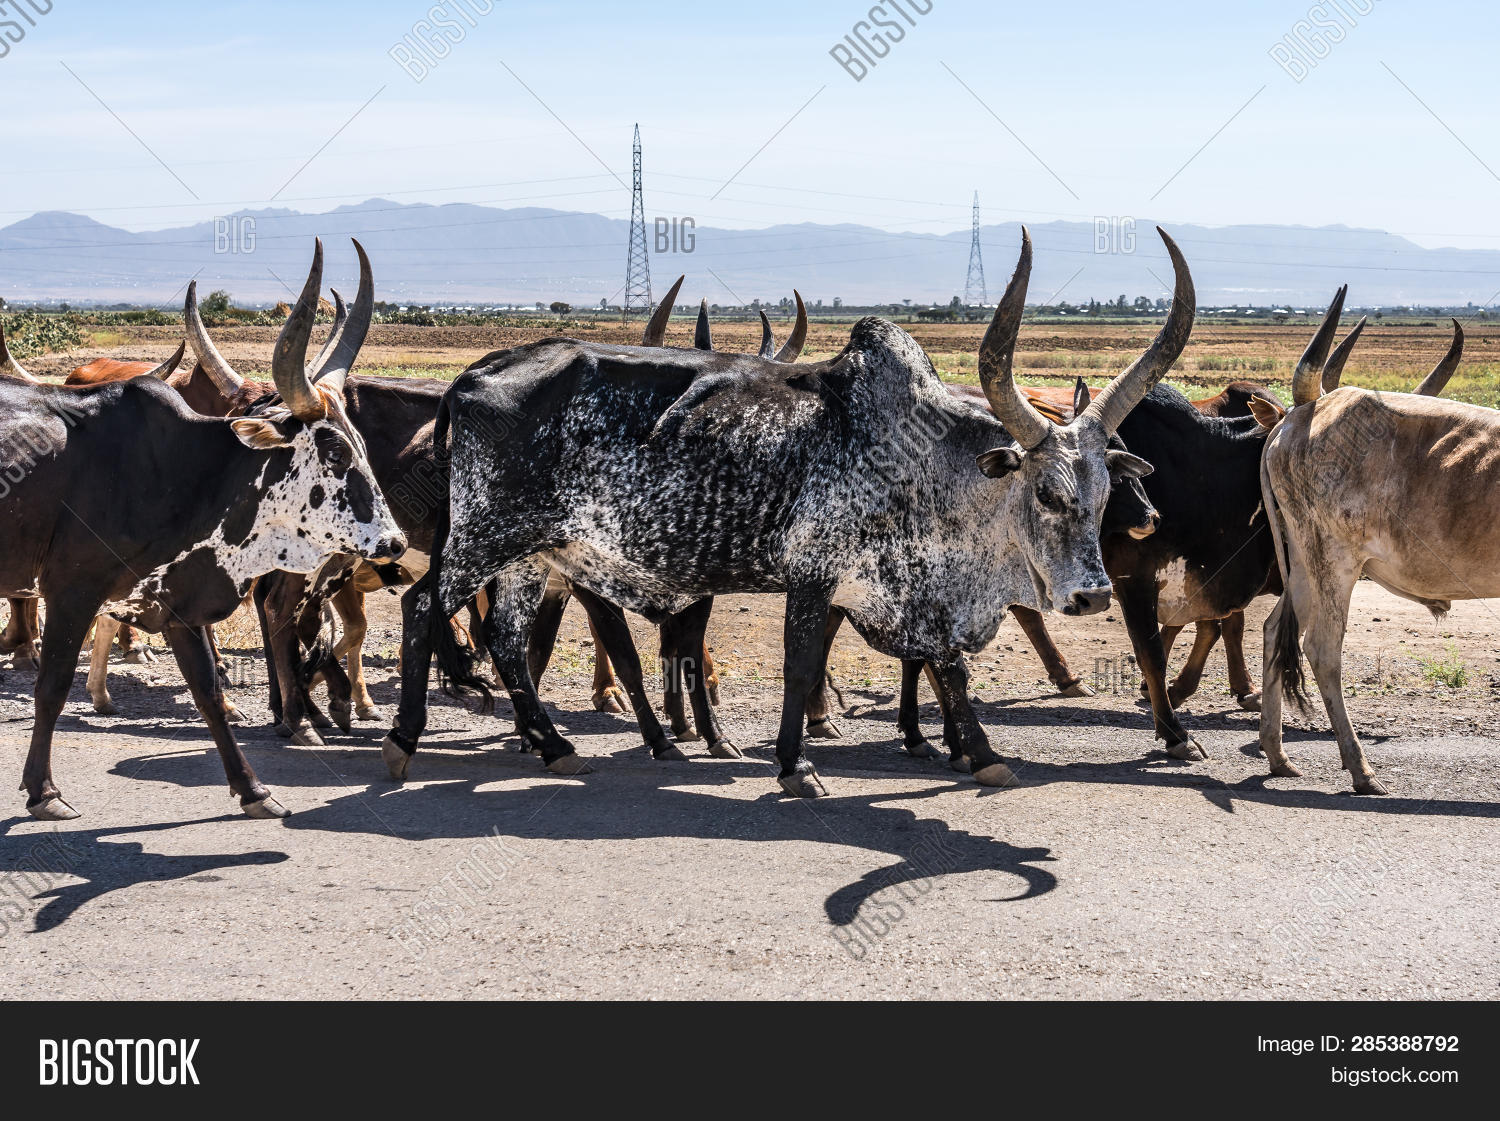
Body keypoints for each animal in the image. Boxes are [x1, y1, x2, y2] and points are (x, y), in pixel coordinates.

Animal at [0, 240, 406, 820]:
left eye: (362, 444)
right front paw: (44, 791)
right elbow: (52, 687)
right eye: (332, 451)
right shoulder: (71, 592)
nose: (394, 543)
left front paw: (254, 791)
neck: (181, 474)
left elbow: (208, 691)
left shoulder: (177, 604)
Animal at [380, 226, 1190, 797]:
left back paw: (551, 744)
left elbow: (947, 667)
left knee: (509, 639)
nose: (1092, 595)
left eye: (1103, 494)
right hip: (486, 537)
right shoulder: (813, 576)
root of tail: (476, 373)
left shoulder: (915, 592)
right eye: (1047, 494)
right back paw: (404, 742)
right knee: (425, 606)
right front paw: (795, 766)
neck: (918, 458)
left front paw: (981, 754)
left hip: (530, 554)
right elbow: (804, 666)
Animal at [1257, 312, 1488, 794]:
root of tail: (1289, 428)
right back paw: (1361, 769)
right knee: (1322, 649)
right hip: (1334, 560)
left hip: (1305, 562)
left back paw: (1278, 755)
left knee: (1274, 631)